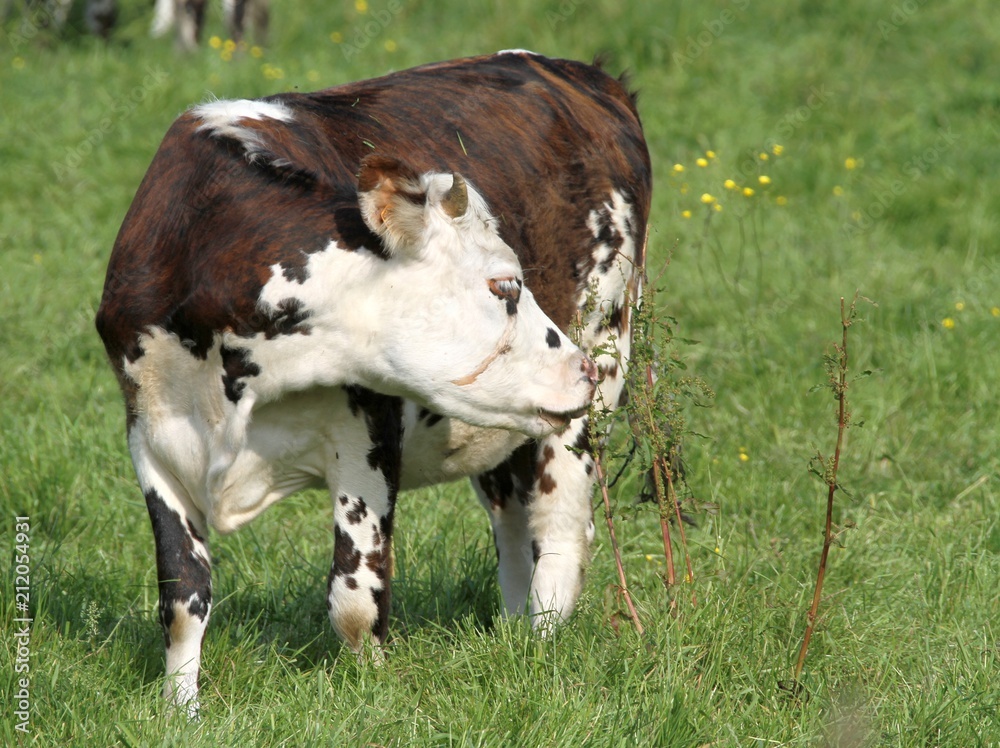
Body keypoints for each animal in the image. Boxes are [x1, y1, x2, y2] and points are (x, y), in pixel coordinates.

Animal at [95, 50, 651, 712]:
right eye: (506, 284)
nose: (579, 371)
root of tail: (590, 76)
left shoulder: (368, 431)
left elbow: (356, 599)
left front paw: (374, 693)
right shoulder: (153, 436)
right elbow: (182, 597)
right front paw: (181, 712)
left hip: (602, 357)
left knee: (562, 527)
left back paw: (538, 652)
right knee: (512, 520)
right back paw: (512, 638)